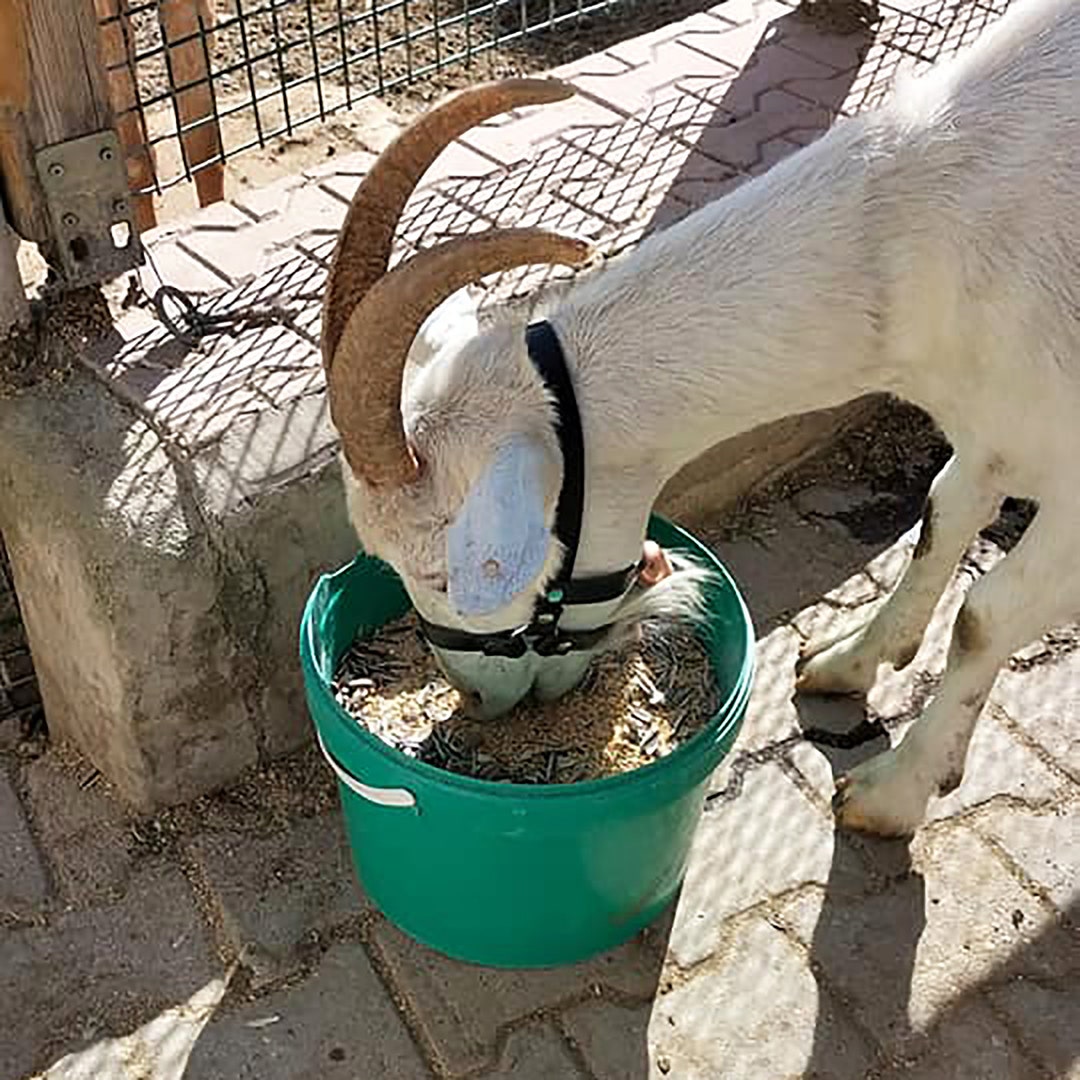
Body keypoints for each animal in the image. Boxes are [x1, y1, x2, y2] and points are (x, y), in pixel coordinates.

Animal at [321, 0, 1079, 836]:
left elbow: (983, 618)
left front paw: (890, 794)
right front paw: (844, 661)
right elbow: (941, 522)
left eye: (443, 572)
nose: (476, 696)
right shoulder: (992, 424)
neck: (929, 218)